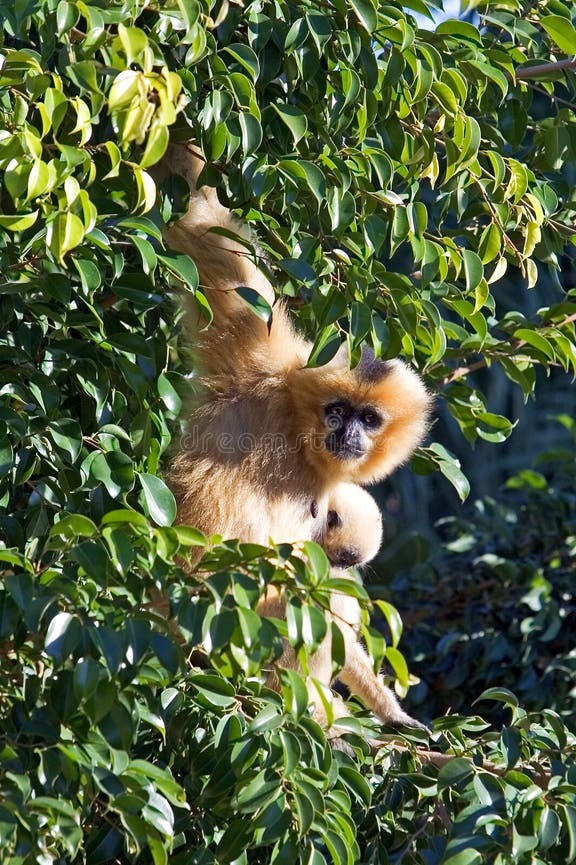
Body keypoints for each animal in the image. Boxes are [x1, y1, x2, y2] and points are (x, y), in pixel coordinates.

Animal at [162, 143, 432, 729]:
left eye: (369, 419)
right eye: (337, 411)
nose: (349, 432)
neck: (298, 442)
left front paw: (394, 714)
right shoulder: (257, 370)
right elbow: (203, 226)